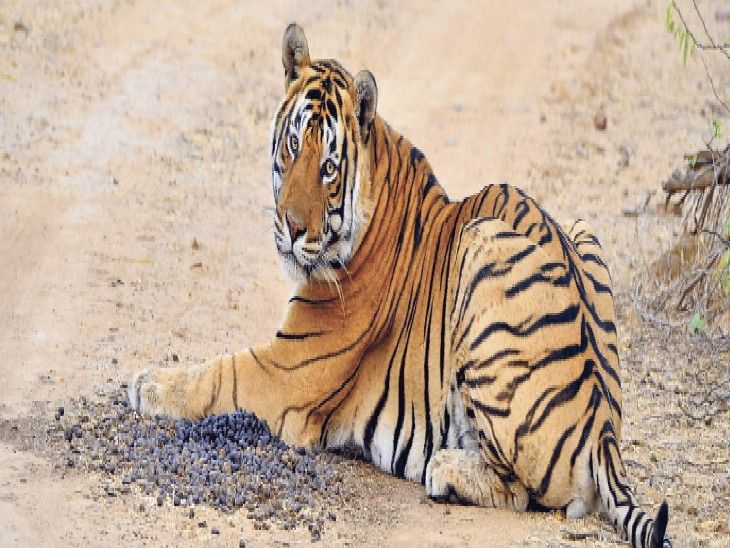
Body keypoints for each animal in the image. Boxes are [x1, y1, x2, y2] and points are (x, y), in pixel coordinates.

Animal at [128, 23, 671, 547]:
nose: (292, 226)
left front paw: (145, 383)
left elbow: (215, 377)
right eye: (293, 145)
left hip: (482, 240)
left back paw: (444, 469)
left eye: (329, 167)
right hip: (581, 227)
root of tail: (605, 436)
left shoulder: (284, 372)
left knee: (520, 491)